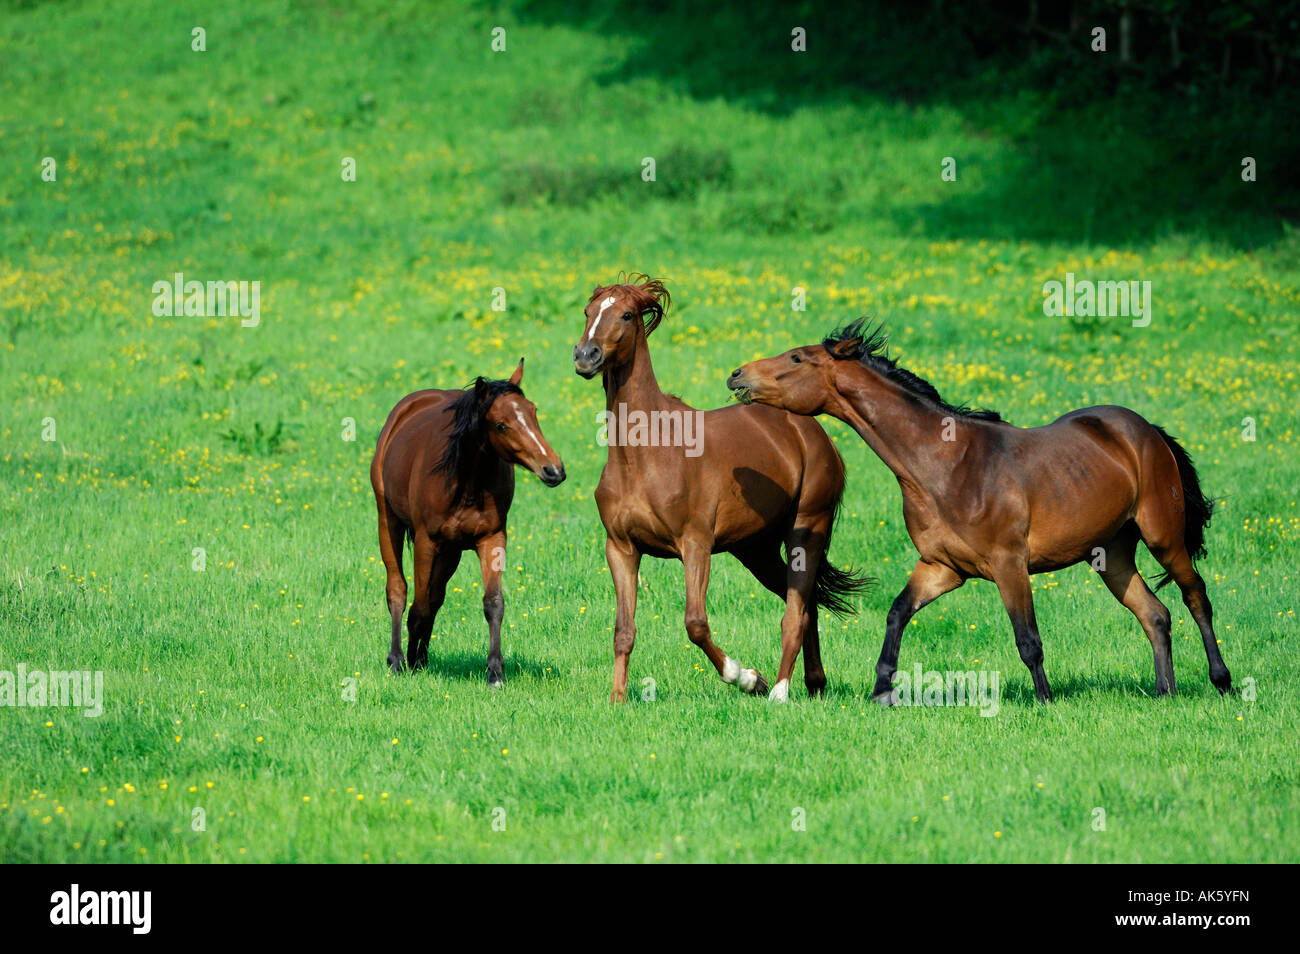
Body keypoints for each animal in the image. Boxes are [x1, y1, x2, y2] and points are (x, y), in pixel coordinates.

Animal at [370, 359, 566, 685]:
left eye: (534, 411)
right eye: (501, 425)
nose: (553, 470)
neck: (464, 482)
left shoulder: (492, 539)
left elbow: (493, 603)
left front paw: (495, 672)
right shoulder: (425, 542)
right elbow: (417, 605)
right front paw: (408, 662)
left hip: (451, 552)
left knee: (434, 598)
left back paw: (420, 658)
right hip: (389, 522)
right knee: (398, 589)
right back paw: (398, 659)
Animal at [572, 274, 871, 703]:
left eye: (626, 314)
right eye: (588, 311)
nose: (585, 356)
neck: (645, 455)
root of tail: (811, 431)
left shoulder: (695, 545)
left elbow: (695, 623)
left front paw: (748, 677)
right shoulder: (622, 549)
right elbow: (623, 630)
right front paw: (617, 699)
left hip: (806, 531)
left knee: (797, 607)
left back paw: (781, 688)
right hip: (756, 550)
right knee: (807, 602)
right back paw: (815, 684)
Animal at [727, 319, 1233, 703]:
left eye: (796, 359)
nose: (736, 374)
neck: (948, 465)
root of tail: (1146, 430)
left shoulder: (1010, 565)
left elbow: (1028, 640)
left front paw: (1045, 702)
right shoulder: (941, 567)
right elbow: (897, 613)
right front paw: (881, 693)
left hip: (1163, 537)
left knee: (1196, 597)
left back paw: (1222, 681)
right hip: (1111, 555)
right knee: (1155, 614)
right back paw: (1165, 692)